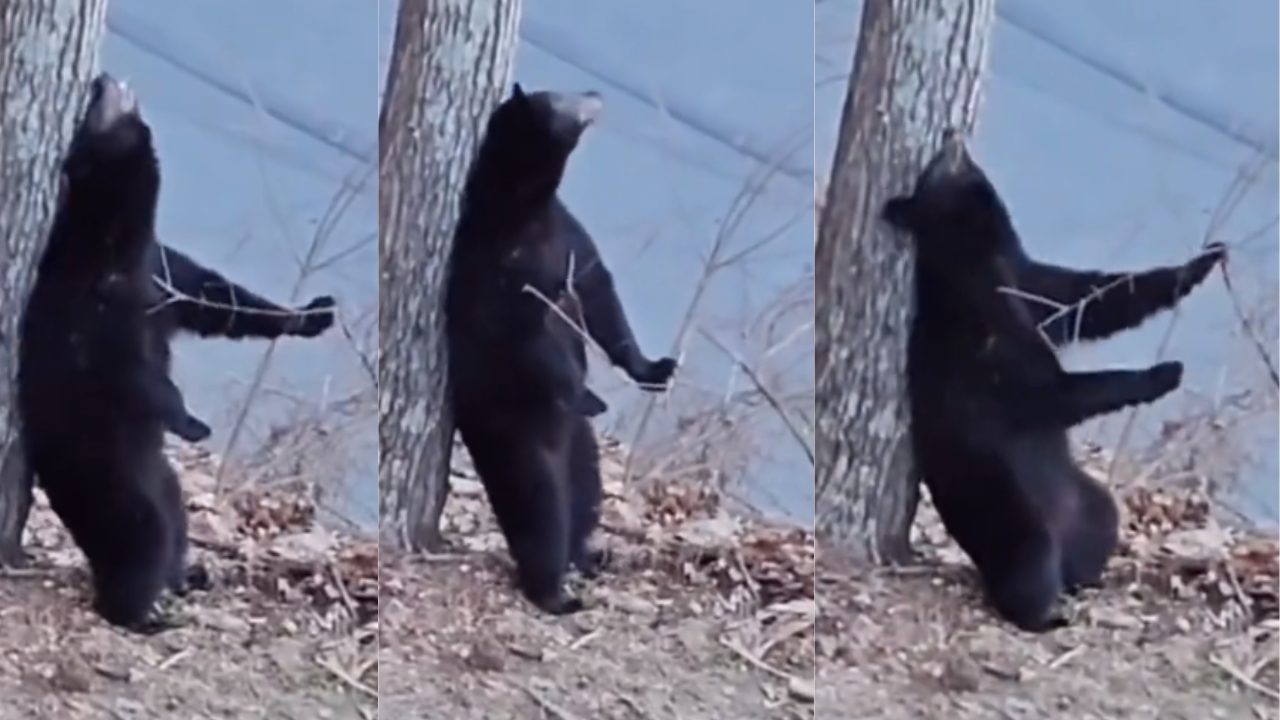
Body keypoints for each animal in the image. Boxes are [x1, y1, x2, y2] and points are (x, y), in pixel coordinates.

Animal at [17, 74, 212, 634]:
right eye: (102, 107)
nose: (103, 78)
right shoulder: (97, 320)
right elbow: (141, 381)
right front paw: (194, 423)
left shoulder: (143, 300)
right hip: (127, 509)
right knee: (142, 558)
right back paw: (149, 613)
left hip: (162, 493)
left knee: (175, 534)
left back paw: (188, 577)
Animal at [445, 83, 678, 615]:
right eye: (559, 95)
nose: (595, 90)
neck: (525, 205)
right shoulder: (495, 267)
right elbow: (526, 336)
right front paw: (588, 394)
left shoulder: (567, 234)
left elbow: (599, 296)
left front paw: (656, 367)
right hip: (520, 448)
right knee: (541, 514)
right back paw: (555, 593)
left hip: (582, 455)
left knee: (585, 502)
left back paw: (590, 557)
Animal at [881, 130, 1192, 632]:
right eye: (932, 174)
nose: (951, 134)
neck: (981, 262)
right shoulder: (985, 343)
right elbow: (1056, 392)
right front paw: (1164, 373)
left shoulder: (1029, 286)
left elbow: (1090, 299)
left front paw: (1201, 265)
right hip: (1012, 518)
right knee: (1028, 569)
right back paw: (1045, 614)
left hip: (1086, 502)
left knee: (1102, 520)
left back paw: (1087, 576)